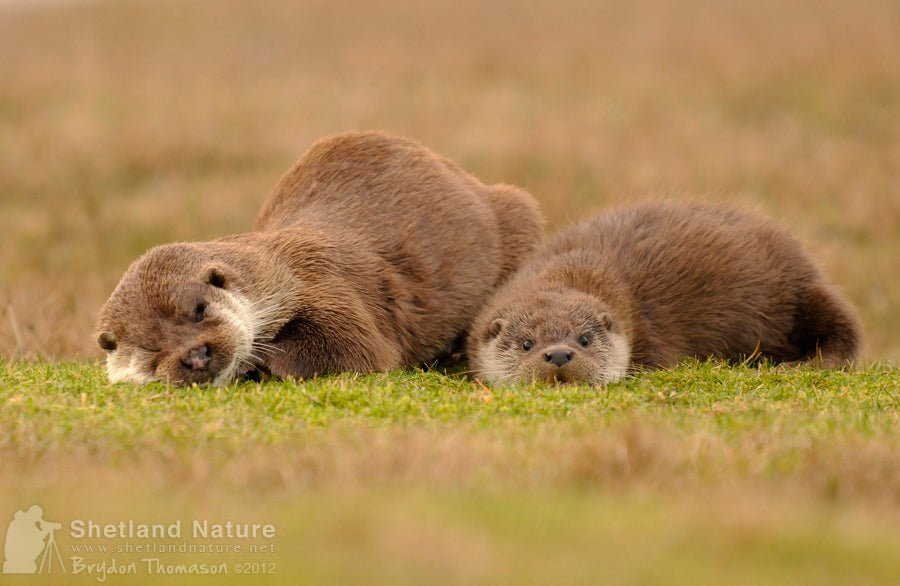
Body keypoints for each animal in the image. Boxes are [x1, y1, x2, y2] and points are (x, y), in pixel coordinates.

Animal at [96, 131, 543, 385]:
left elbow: (359, 349)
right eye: (150, 348)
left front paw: (257, 362)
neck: (279, 272)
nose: (195, 354)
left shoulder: (326, 282)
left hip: (517, 211)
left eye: (199, 310)